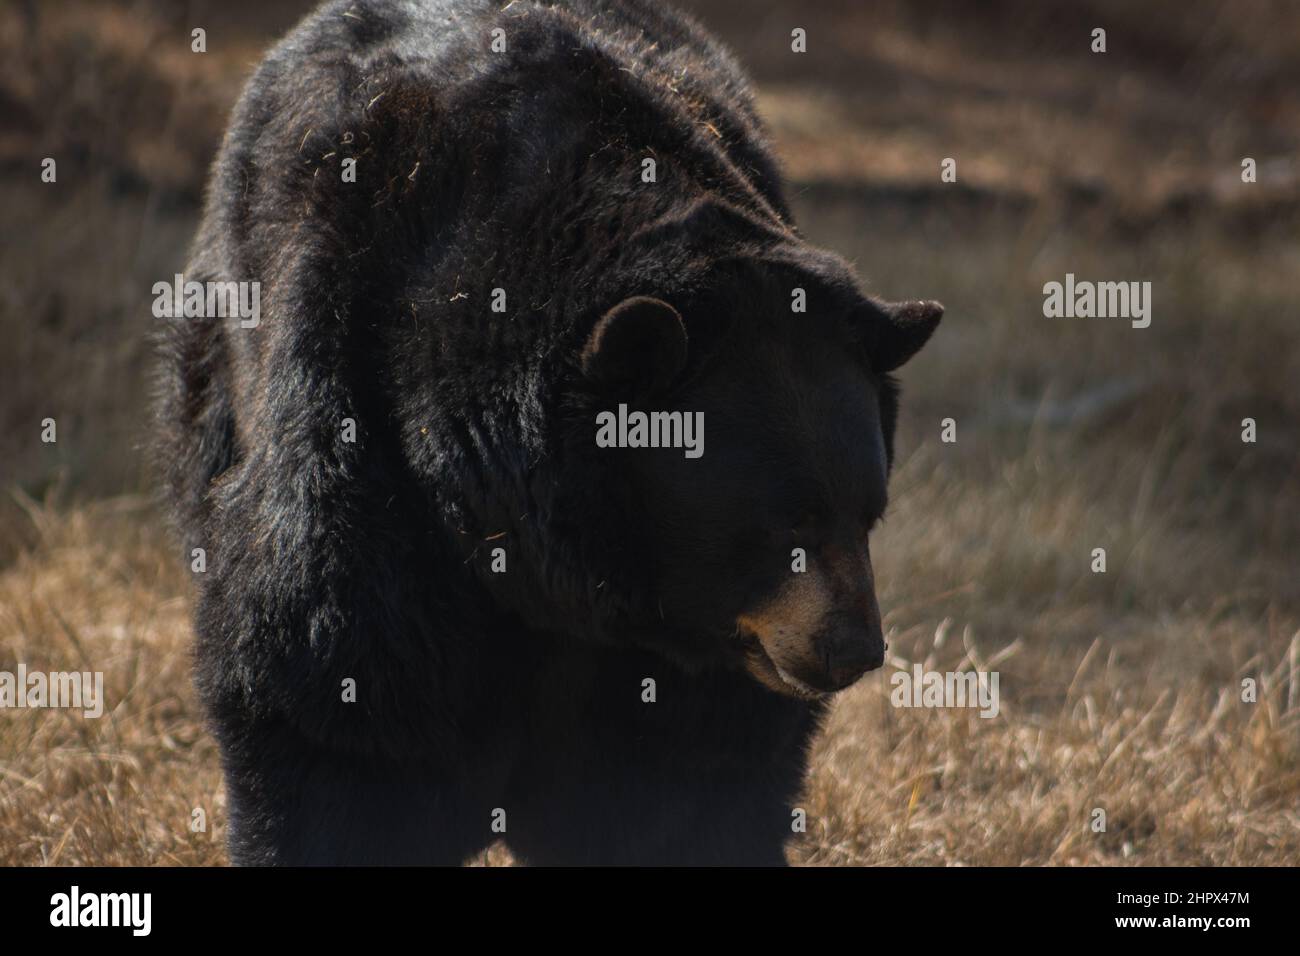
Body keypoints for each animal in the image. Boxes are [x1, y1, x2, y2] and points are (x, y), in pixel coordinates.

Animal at [154, 0, 942, 865]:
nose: (854, 648)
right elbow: (334, 696)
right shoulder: (355, 391)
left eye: (869, 513)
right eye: (782, 526)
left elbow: (684, 778)